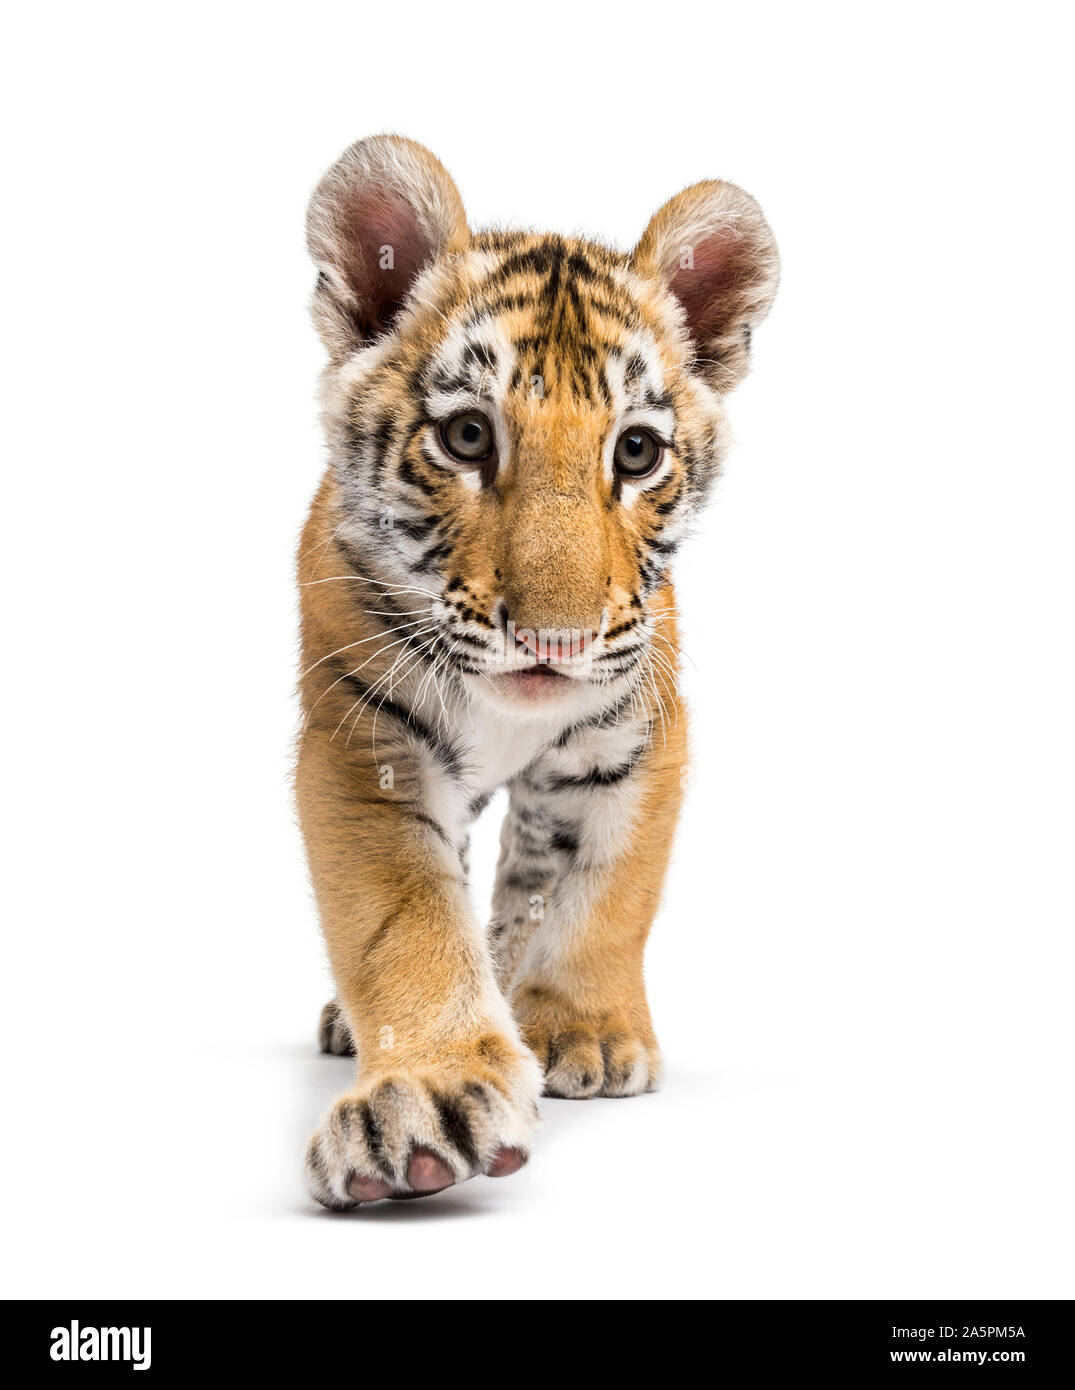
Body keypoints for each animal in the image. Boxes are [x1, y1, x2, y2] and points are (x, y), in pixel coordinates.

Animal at [297, 135, 778, 1208]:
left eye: (635, 452)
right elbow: (405, 921)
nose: (555, 642)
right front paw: (425, 1097)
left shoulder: (640, 735)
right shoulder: (362, 745)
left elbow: (604, 894)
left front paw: (586, 1033)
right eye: (467, 435)